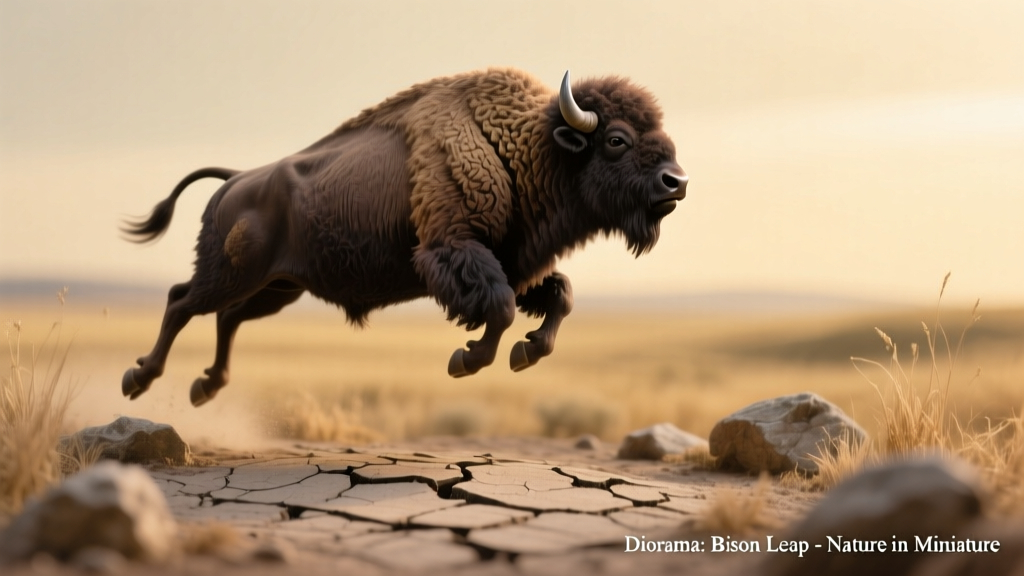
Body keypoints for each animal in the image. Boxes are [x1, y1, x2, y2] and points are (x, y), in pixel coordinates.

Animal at [122, 68, 687, 407]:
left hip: (278, 288)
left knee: (227, 317)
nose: (676, 182)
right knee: (182, 302)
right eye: (616, 140)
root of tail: (237, 179)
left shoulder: (517, 264)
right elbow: (500, 308)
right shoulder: (455, 251)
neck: (528, 149)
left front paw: (526, 352)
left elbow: (560, 297)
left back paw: (205, 386)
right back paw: (140, 379)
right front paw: (466, 360)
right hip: (233, 275)